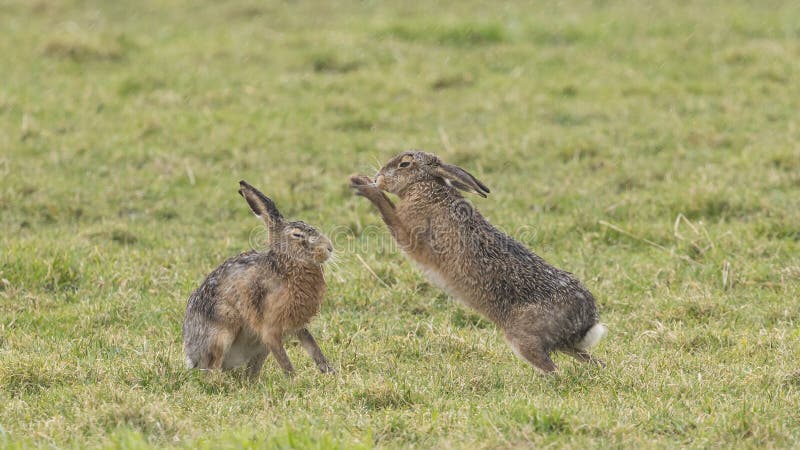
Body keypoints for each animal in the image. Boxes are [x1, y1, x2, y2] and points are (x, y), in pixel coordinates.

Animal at [182, 180, 335, 377]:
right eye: (297, 235)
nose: (329, 247)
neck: (286, 266)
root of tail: (192, 357)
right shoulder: (270, 328)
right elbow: (284, 359)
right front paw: (294, 379)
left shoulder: (296, 324)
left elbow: (313, 346)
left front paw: (330, 372)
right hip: (222, 331)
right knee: (212, 368)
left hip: (258, 349)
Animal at [350, 151, 606, 374]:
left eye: (404, 164)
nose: (378, 178)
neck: (424, 186)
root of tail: (587, 319)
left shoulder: (410, 234)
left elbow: (388, 211)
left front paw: (363, 185)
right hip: (562, 344)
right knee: (590, 359)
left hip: (523, 339)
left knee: (553, 369)